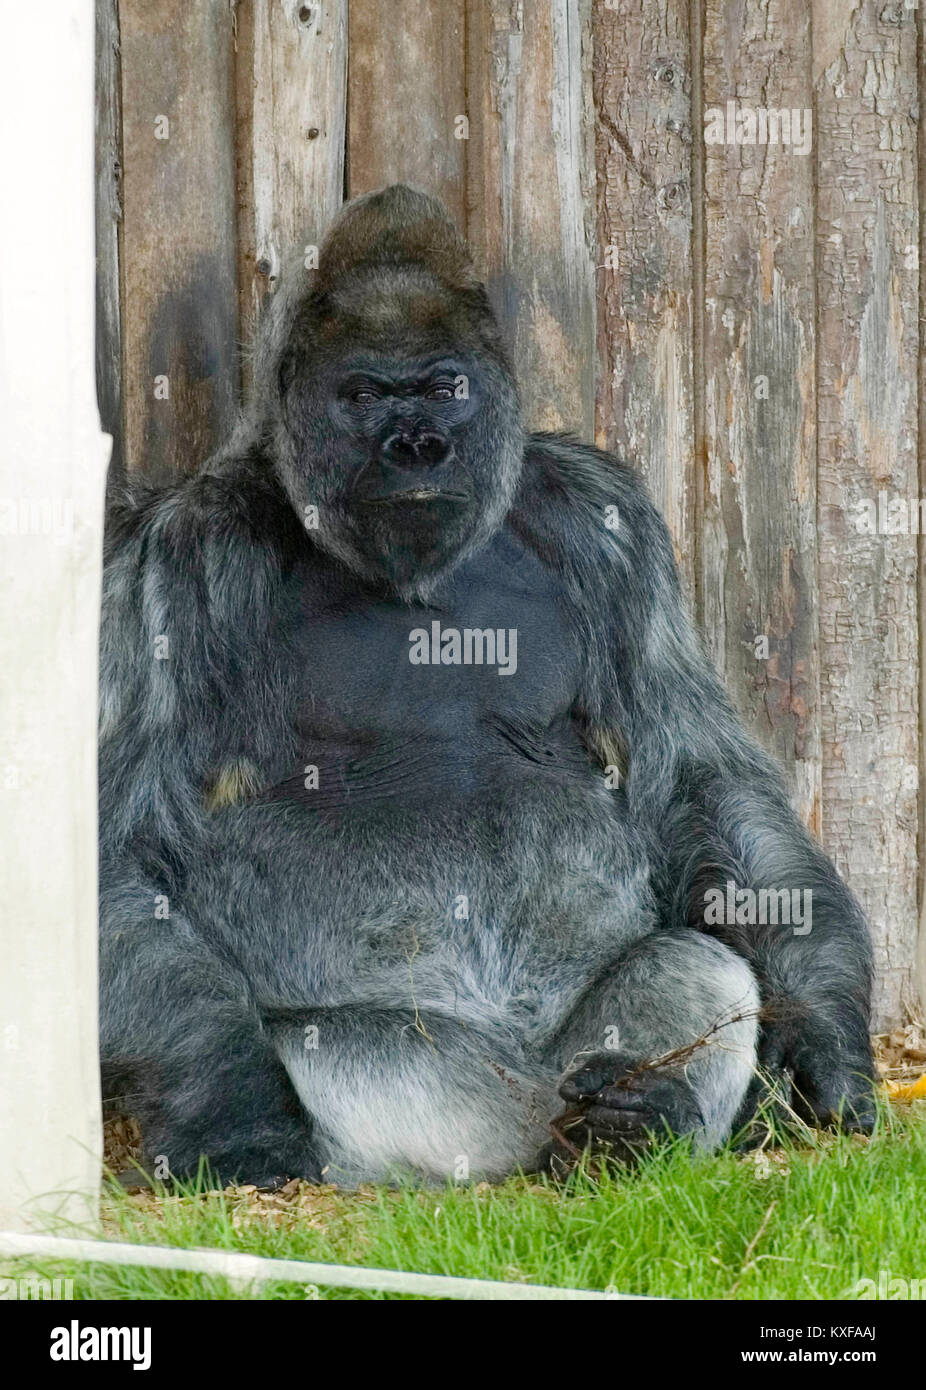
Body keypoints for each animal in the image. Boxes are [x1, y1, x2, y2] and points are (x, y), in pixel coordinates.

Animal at [99, 184, 874, 1188]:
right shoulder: (176, 562)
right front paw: (228, 1102)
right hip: (465, 1112)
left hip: (565, 1078)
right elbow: (118, 853)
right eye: (363, 396)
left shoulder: (607, 516)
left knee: (692, 963)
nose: (420, 446)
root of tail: (523, 1155)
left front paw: (822, 1042)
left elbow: (702, 786)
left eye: (442, 389)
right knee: (359, 1061)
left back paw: (639, 1119)